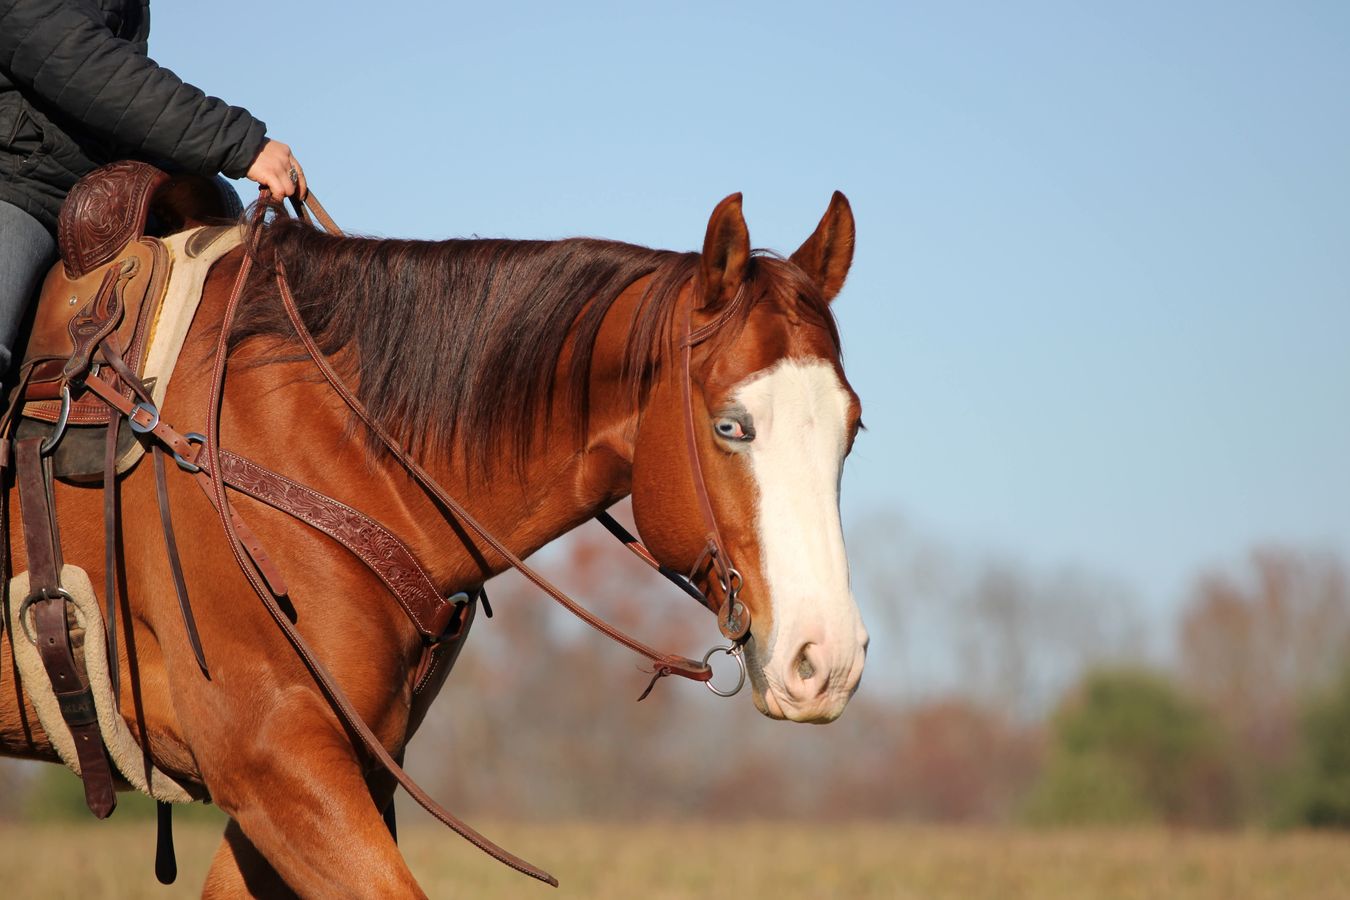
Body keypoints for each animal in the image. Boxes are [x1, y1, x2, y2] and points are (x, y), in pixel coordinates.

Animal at [0, 189, 868, 896]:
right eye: (731, 425)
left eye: (852, 428)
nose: (826, 660)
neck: (318, 440)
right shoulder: (273, 757)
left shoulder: (329, 773)